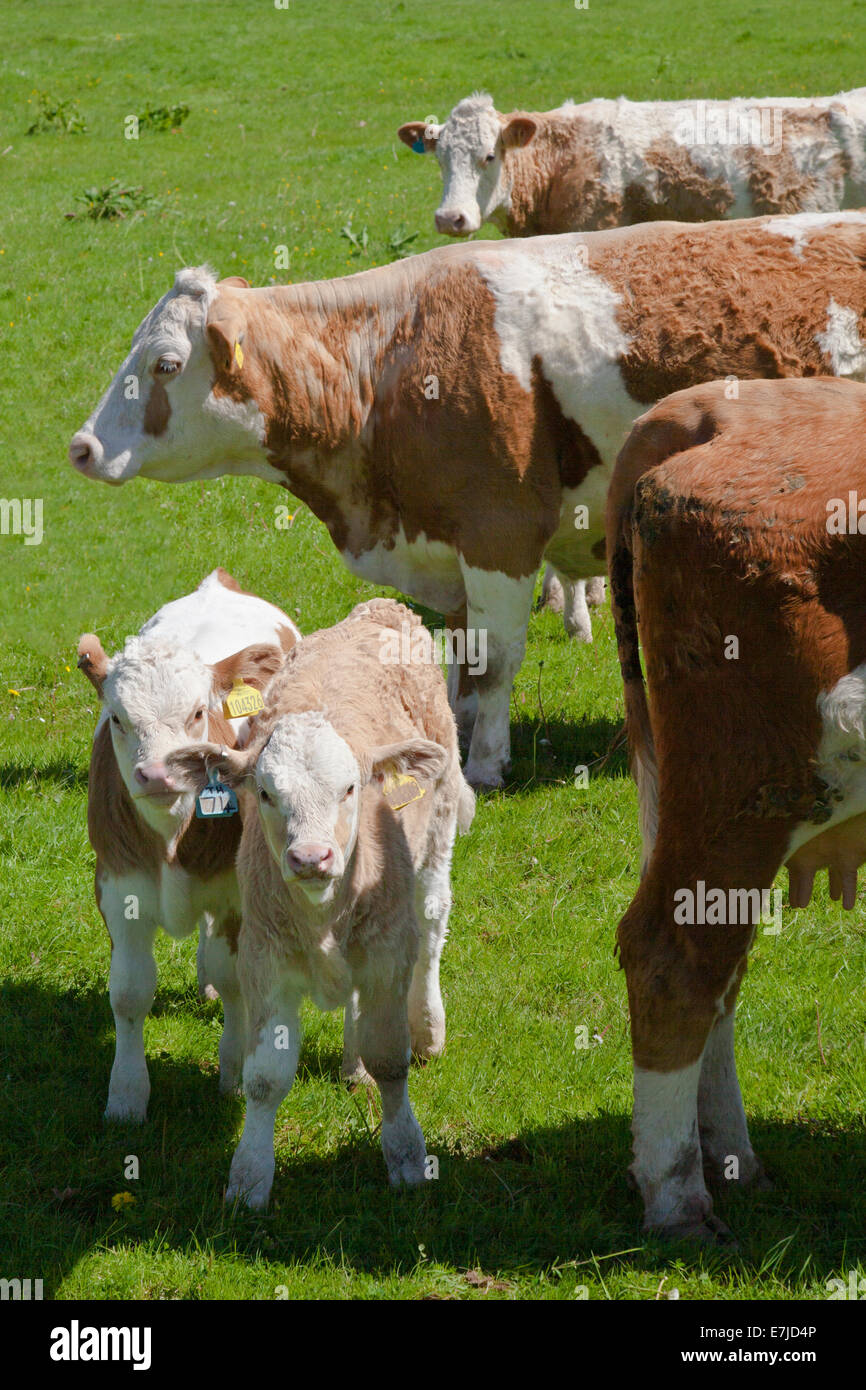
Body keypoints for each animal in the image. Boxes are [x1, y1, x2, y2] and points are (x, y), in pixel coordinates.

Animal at [69, 209, 866, 789]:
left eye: (165, 364)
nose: (82, 447)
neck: (390, 360)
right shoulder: (442, 545)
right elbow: (457, 657)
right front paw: (447, 735)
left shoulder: (500, 534)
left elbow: (496, 658)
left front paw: (485, 762)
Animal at [77, 568, 300, 1122]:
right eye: (117, 718)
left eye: (199, 713)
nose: (158, 773)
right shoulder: (119, 887)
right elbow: (129, 991)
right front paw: (126, 1096)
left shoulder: (234, 894)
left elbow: (235, 976)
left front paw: (232, 1073)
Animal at [162, 598, 475, 1208]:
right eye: (264, 793)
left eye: (350, 788)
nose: (310, 856)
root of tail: (382, 608)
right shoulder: (265, 957)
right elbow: (266, 1076)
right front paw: (249, 1177)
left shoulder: (386, 950)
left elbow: (391, 1058)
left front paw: (406, 1156)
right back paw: (353, 1064)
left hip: (436, 842)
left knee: (431, 928)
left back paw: (428, 1026)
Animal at [606, 375, 866, 1241]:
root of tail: (706, 412)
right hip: (744, 797)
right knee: (674, 957)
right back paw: (677, 1196)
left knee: (721, 964)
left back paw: (729, 1159)